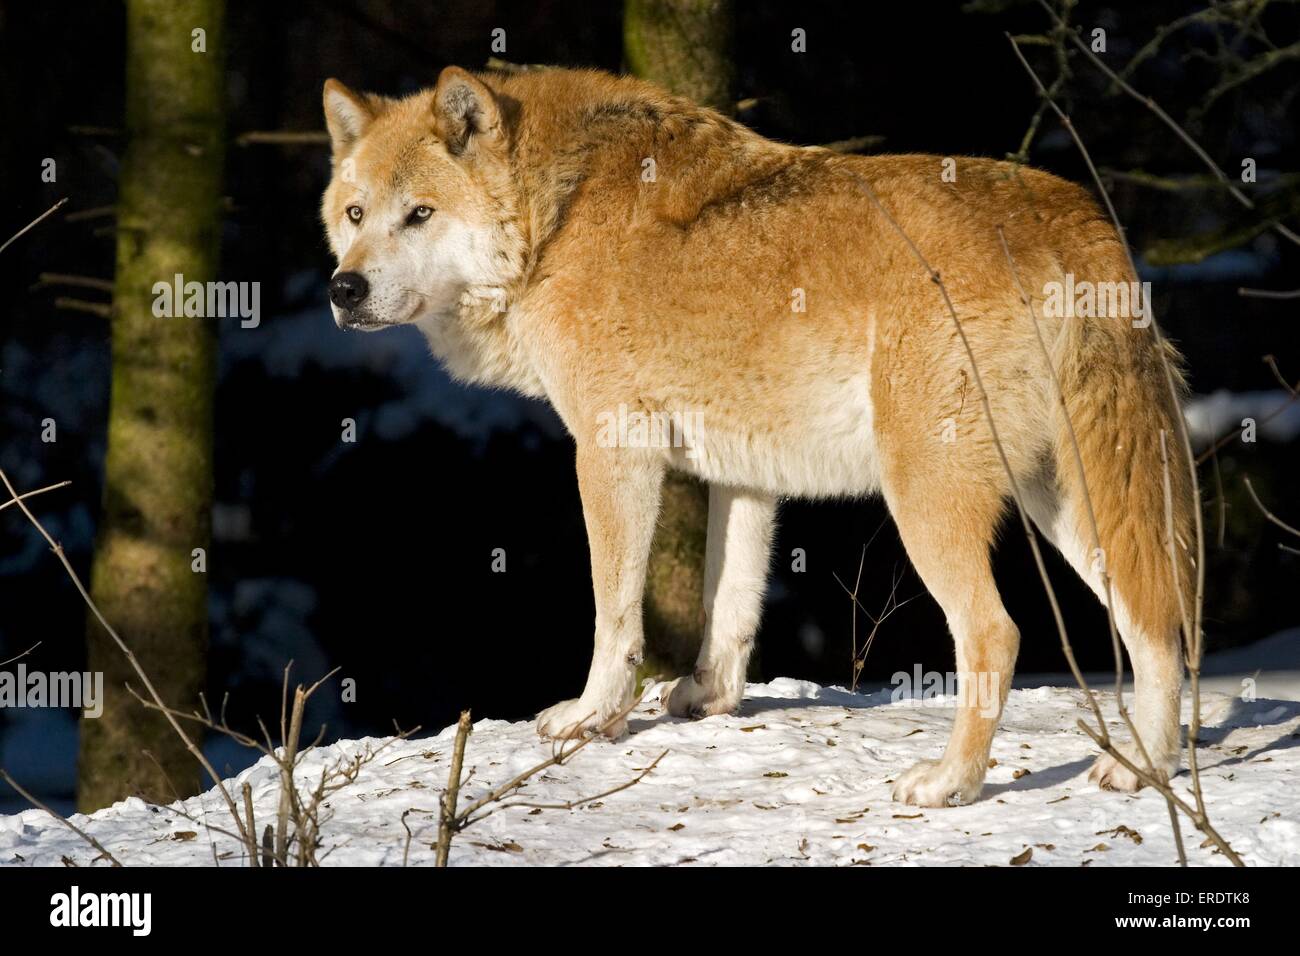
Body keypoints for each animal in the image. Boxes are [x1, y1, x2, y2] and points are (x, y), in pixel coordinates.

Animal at [320, 65, 1193, 807]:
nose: (343, 288)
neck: (552, 219)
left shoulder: (611, 449)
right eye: (356, 215)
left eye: (420, 214)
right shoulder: (743, 474)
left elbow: (614, 613)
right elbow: (730, 605)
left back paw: (951, 783)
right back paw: (1140, 770)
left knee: (997, 634)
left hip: (930, 498)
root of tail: (1072, 218)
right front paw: (708, 699)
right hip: (1072, 504)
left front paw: (590, 717)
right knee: (1158, 624)